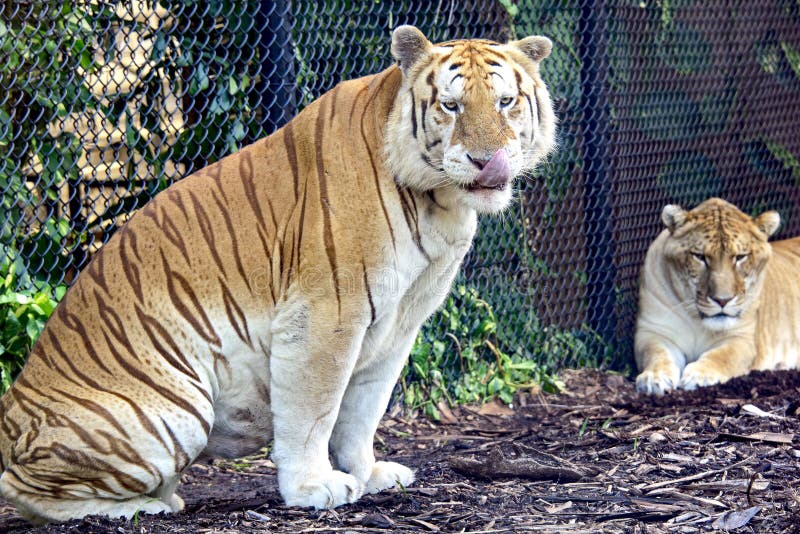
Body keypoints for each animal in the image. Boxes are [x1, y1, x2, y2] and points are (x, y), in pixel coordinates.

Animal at [0, 25, 556, 523]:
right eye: (452, 105)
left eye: (506, 102)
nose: (486, 161)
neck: (439, 204)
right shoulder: (327, 314)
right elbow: (315, 411)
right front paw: (314, 487)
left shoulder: (398, 328)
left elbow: (363, 412)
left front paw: (370, 474)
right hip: (173, 414)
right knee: (21, 490)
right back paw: (143, 507)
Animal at [635, 197, 800, 395]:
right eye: (699, 256)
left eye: (740, 257)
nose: (723, 300)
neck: (698, 321)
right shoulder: (654, 331)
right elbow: (656, 354)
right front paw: (653, 378)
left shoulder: (742, 339)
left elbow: (721, 355)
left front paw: (700, 375)